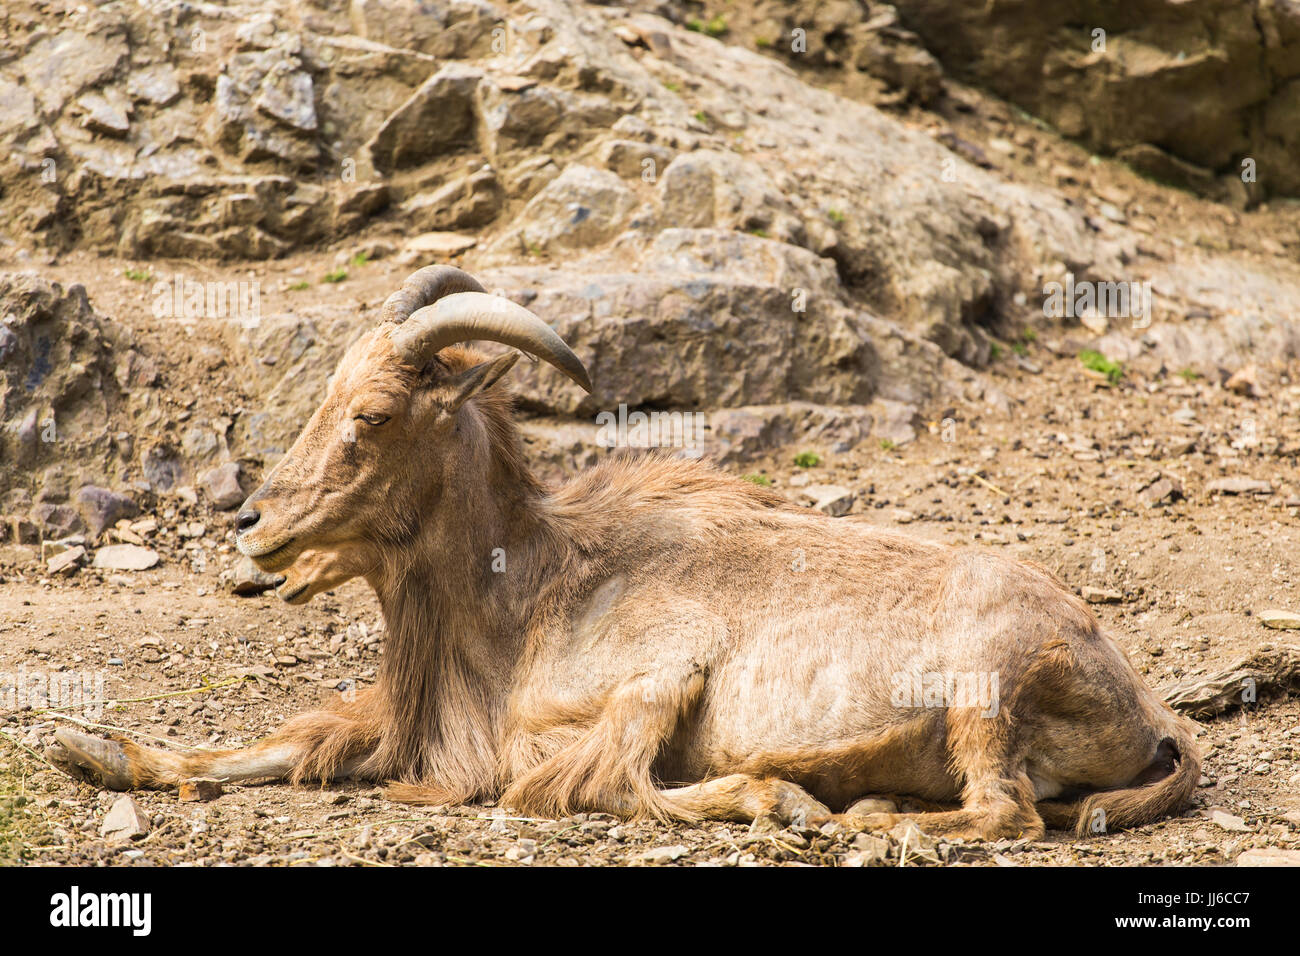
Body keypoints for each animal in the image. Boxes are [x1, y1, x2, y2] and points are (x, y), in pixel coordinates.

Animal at [57, 265, 1201, 840]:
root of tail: (1146, 706)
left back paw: (881, 824)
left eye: (373, 413)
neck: (528, 596)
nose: (253, 523)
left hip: (980, 690)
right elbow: (274, 745)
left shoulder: (655, 681)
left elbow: (583, 785)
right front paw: (96, 748)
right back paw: (876, 804)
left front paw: (780, 796)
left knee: (1007, 814)